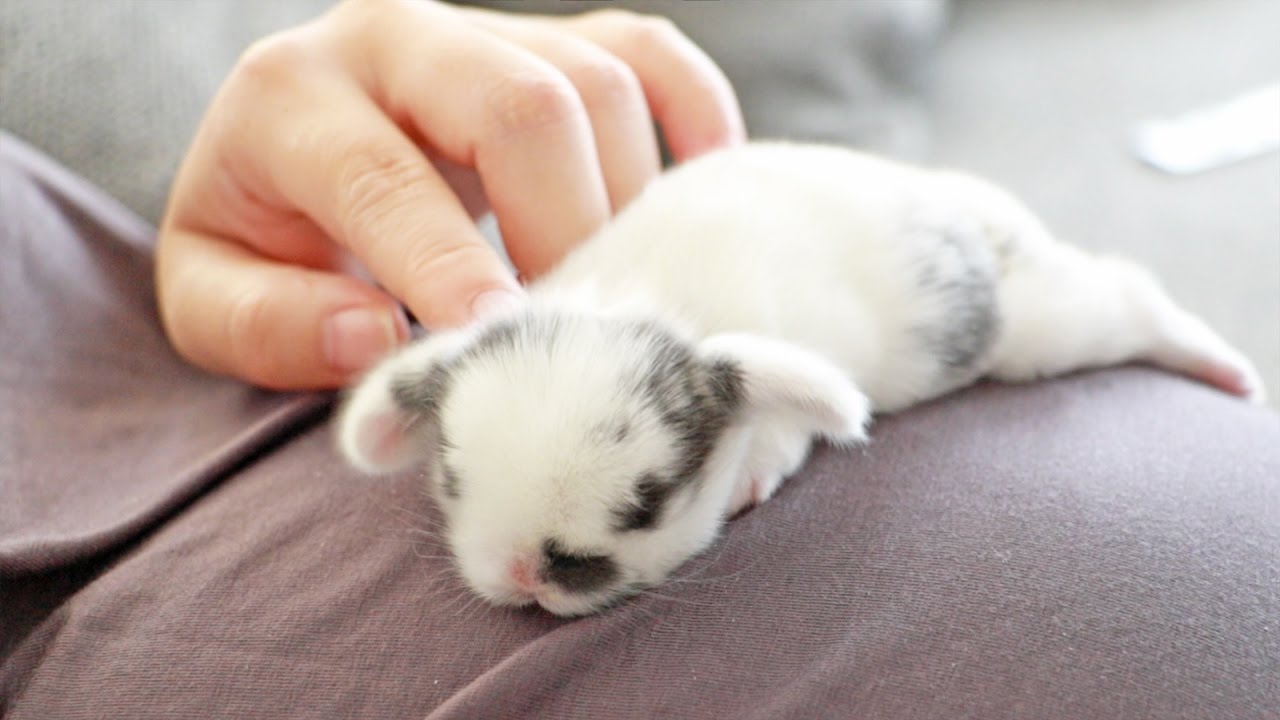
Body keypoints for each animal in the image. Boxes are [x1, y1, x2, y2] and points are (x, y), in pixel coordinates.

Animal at [336, 142, 1264, 617]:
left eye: (648, 503)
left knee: (1135, 299)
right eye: (452, 479)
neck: (649, 296)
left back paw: (1230, 372)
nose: (532, 572)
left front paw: (752, 479)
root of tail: (983, 214)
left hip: (1046, 329)